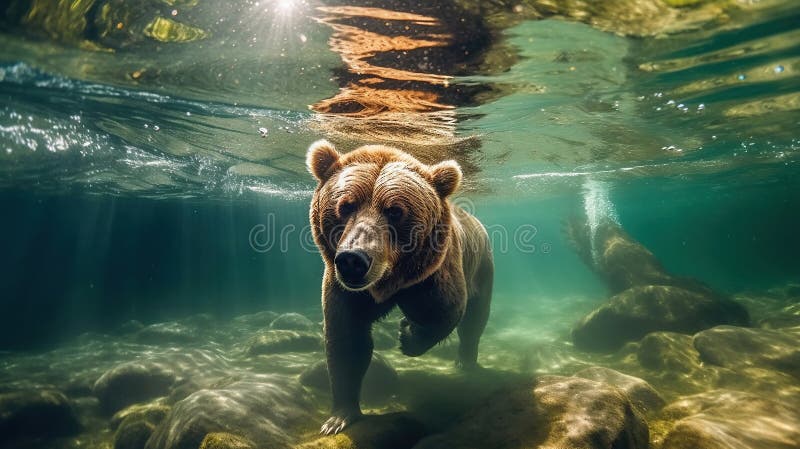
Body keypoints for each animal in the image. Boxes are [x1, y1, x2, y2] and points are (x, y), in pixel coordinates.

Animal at [306, 140, 494, 435]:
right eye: (346, 206)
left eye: (394, 210)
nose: (353, 260)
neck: (387, 281)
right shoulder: (344, 289)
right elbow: (347, 340)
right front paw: (339, 418)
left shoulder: (432, 275)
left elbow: (445, 310)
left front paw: (408, 336)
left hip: (482, 266)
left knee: (476, 318)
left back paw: (465, 360)